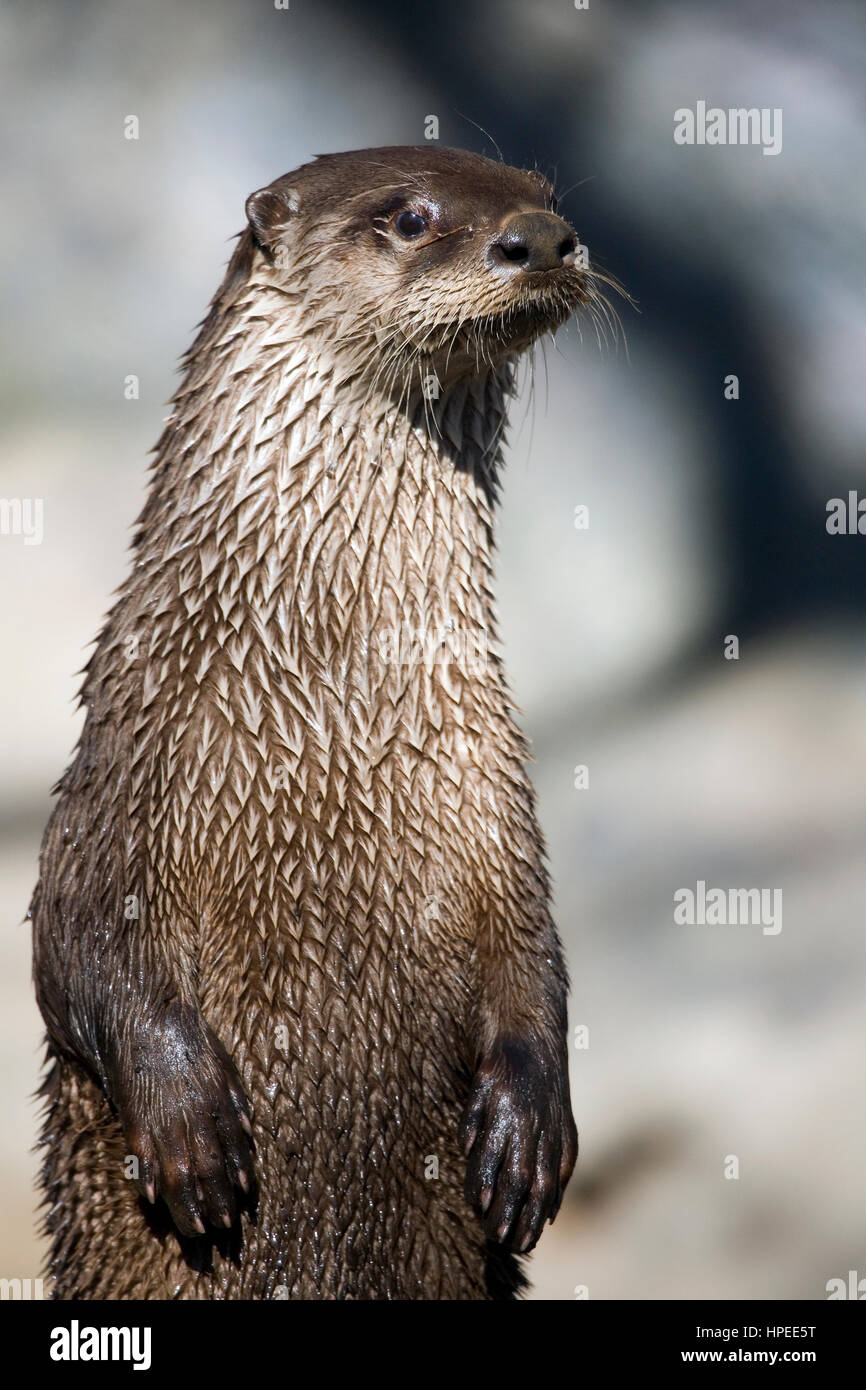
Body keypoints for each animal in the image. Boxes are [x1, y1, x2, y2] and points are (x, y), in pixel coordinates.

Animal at [31, 145, 587, 1300]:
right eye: (411, 216)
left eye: (547, 192)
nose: (541, 239)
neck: (330, 697)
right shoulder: (119, 775)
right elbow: (79, 944)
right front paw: (189, 1130)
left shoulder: (491, 793)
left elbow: (533, 954)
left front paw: (528, 1130)